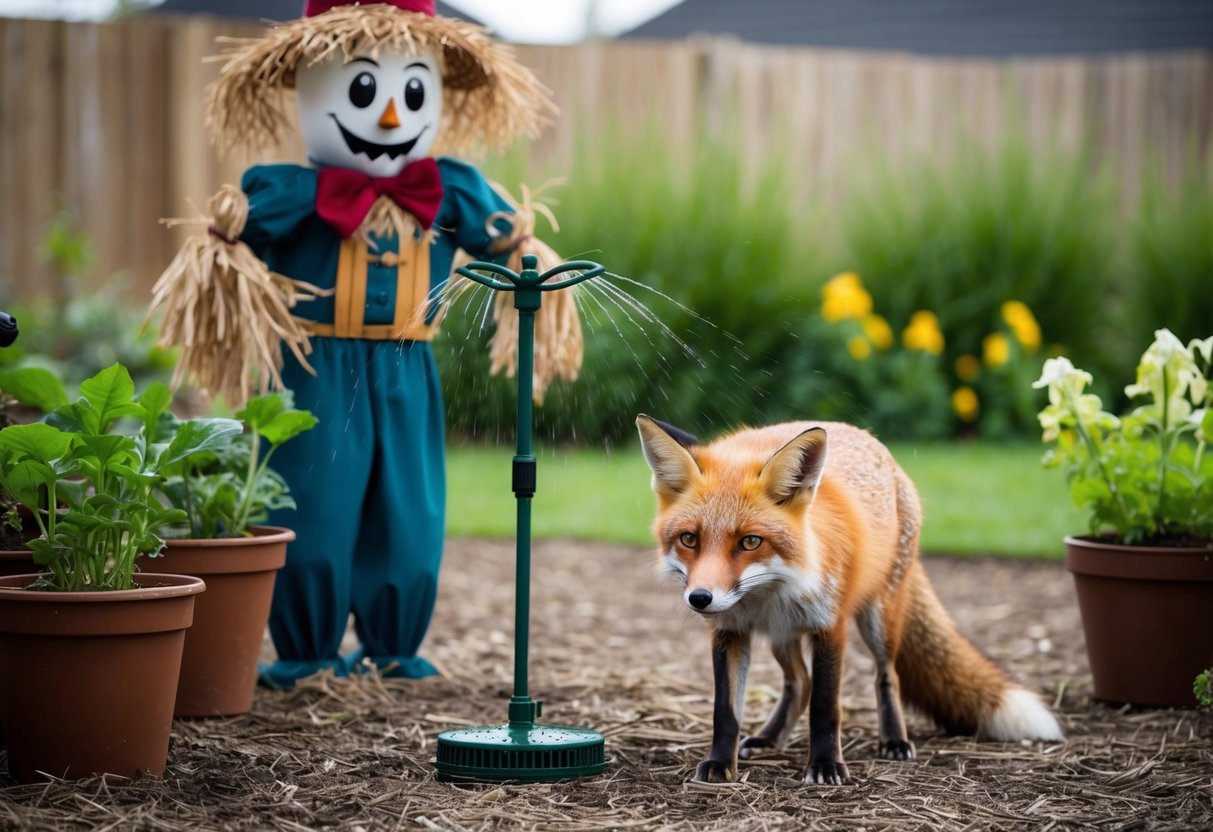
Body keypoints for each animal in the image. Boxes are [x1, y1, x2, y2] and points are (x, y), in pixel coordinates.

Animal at [635, 415, 1063, 786]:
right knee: (799, 682)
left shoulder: (830, 625)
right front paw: (720, 764)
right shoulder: (730, 631)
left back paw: (894, 740)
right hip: (781, 635)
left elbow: (827, 707)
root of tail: (871, 440)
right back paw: (770, 739)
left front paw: (825, 766)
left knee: (886, 675)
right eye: (689, 539)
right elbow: (726, 711)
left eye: (750, 541)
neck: (767, 594)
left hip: (877, 619)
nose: (700, 598)